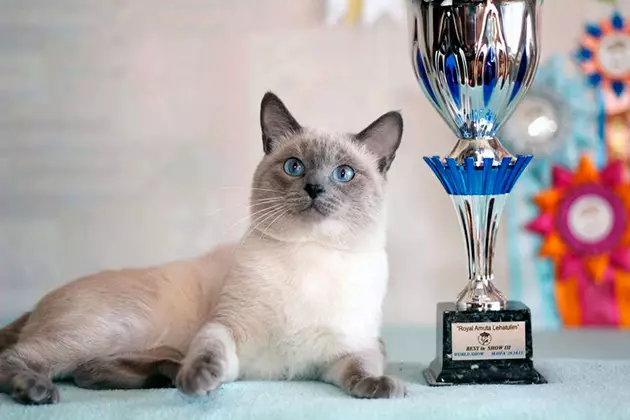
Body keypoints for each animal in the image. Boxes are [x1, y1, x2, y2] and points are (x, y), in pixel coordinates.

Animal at [0, 92, 404, 404]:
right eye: (294, 166)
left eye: (343, 174)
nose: (315, 188)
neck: (310, 257)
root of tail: (37, 304)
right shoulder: (228, 333)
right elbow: (211, 353)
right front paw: (198, 381)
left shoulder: (348, 352)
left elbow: (361, 369)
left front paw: (383, 387)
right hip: (105, 331)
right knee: (18, 357)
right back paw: (37, 390)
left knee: (88, 372)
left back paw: (163, 374)